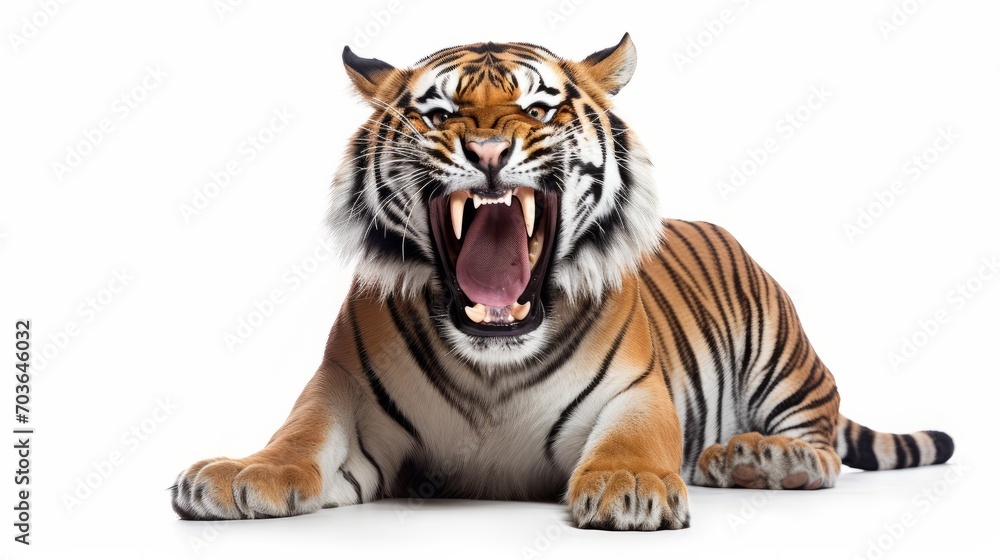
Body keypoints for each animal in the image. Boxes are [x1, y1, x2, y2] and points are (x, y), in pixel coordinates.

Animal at [171, 34, 954, 531]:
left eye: (539, 108)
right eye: (440, 113)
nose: (488, 150)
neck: (490, 361)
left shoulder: (637, 390)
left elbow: (632, 441)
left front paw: (630, 486)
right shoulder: (345, 393)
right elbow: (299, 435)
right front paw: (239, 475)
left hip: (784, 360)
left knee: (822, 446)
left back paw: (759, 459)